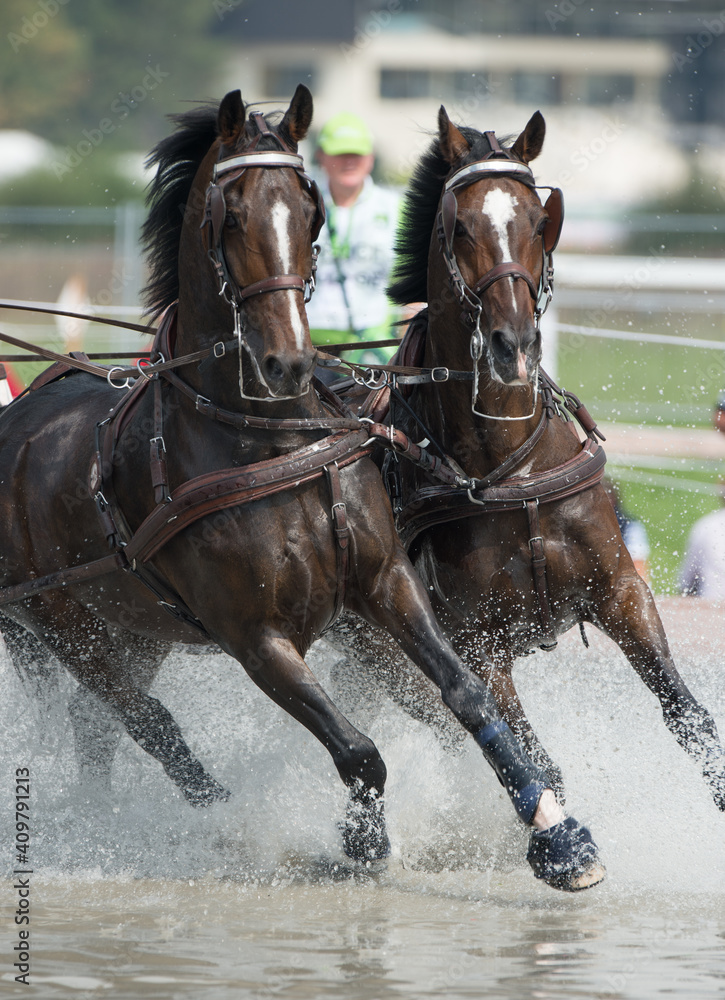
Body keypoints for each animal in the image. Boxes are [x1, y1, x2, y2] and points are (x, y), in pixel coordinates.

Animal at [0, 87, 604, 890]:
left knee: (100, 727)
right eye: (229, 216)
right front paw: (362, 839)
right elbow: (357, 750)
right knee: (147, 723)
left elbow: (467, 696)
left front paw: (557, 833)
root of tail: (17, 415)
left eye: (308, 211)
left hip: (134, 628)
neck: (269, 436)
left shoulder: (385, 581)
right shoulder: (255, 639)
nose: (286, 359)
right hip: (70, 630)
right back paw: (215, 825)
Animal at [329, 106, 725, 824]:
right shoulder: (476, 646)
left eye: (540, 221)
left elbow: (685, 715)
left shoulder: (620, 590)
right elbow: (536, 760)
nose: (512, 344)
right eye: (458, 226)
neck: (510, 469)